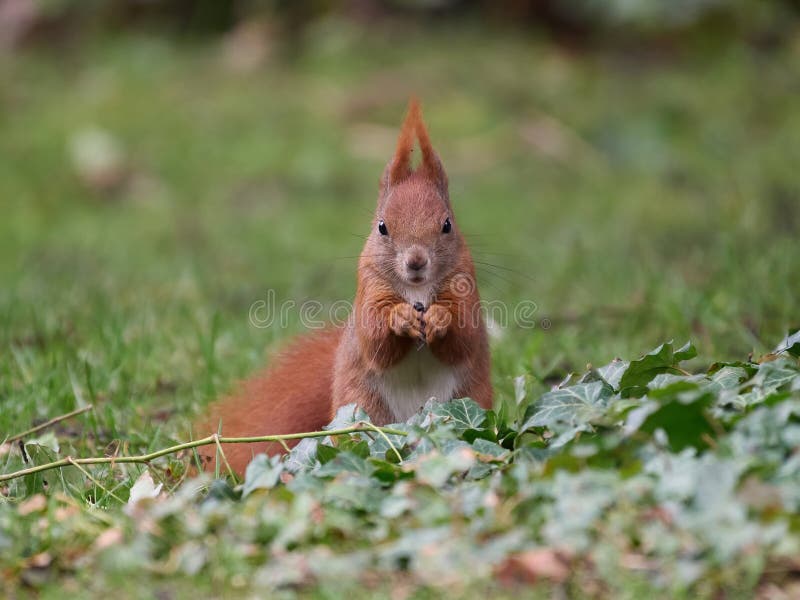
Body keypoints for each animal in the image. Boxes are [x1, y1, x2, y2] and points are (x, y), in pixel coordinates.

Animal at [196, 99, 492, 474]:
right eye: (382, 226)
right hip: (362, 410)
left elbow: (464, 338)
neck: (417, 291)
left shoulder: (465, 286)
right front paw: (400, 319)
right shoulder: (369, 289)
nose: (416, 261)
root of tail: (413, 434)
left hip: (469, 400)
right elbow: (375, 341)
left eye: (447, 225)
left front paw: (440, 319)